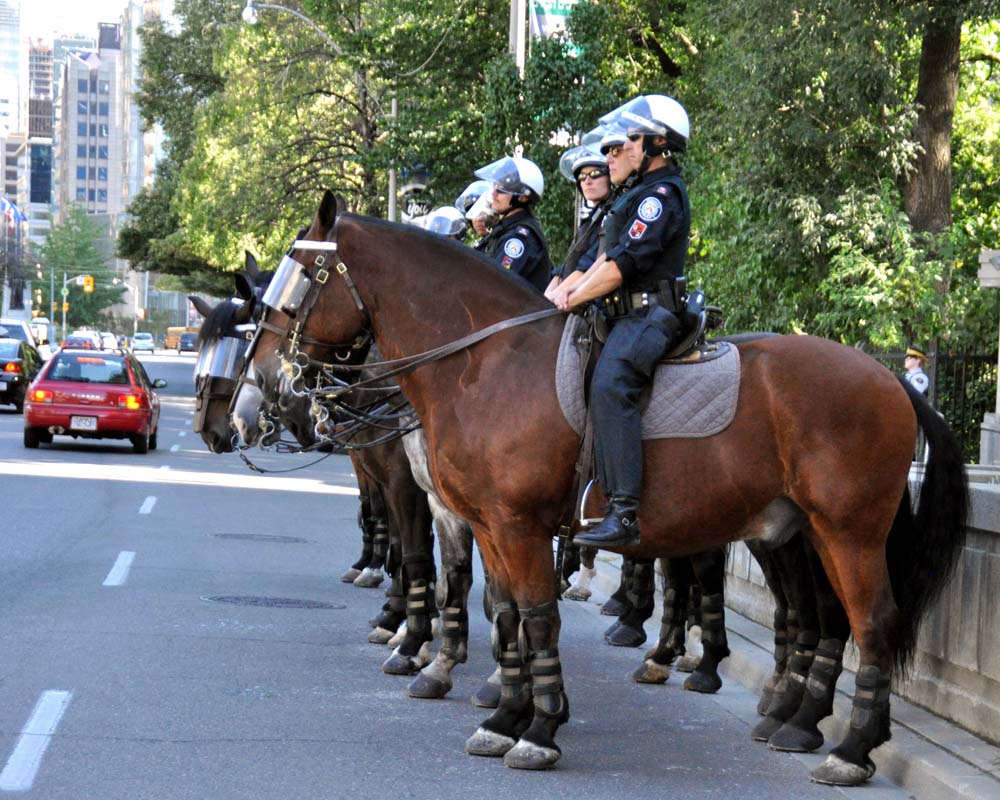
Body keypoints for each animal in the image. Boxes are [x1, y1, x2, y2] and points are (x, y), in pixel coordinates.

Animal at [231, 191, 967, 785]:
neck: (484, 365)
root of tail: (888, 378)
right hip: (797, 529)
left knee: (870, 623)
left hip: (847, 532)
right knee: (829, 619)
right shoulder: (488, 524)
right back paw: (802, 720)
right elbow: (505, 613)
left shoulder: (514, 523)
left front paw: (538, 726)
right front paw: (505, 712)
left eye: (302, 274)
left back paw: (850, 747)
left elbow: (535, 614)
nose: (263, 382)